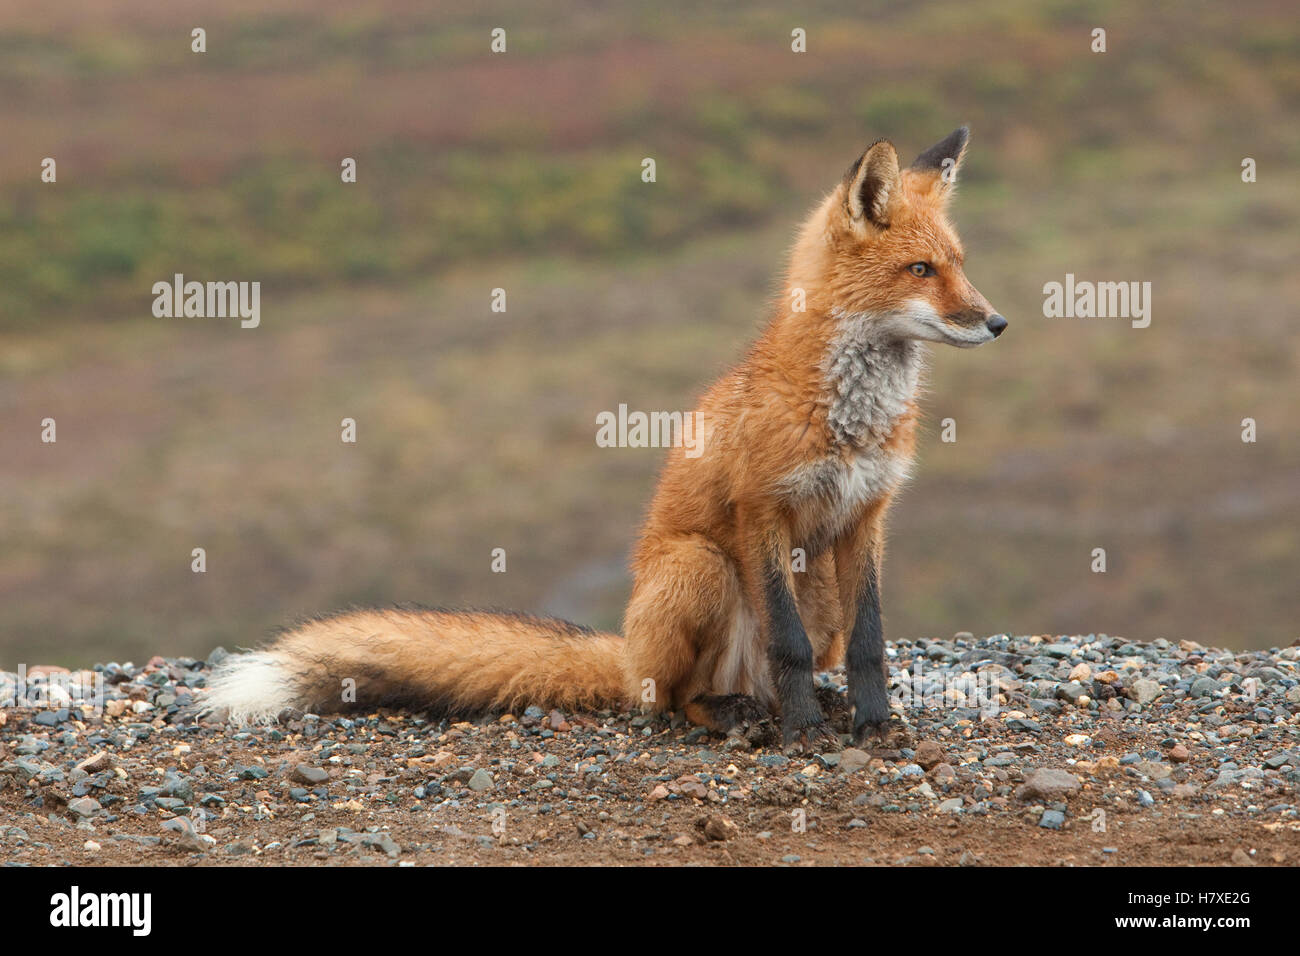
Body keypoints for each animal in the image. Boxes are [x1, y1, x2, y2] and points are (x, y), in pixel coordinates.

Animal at [207, 127, 1006, 753]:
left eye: (961, 265)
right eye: (920, 270)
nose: (998, 323)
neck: (849, 415)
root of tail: (626, 655)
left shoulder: (867, 515)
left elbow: (871, 642)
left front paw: (875, 724)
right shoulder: (762, 512)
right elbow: (788, 644)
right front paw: (806, 733)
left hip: (813, 597)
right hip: (700, 567)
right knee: (674, 700)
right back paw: (743, 713)